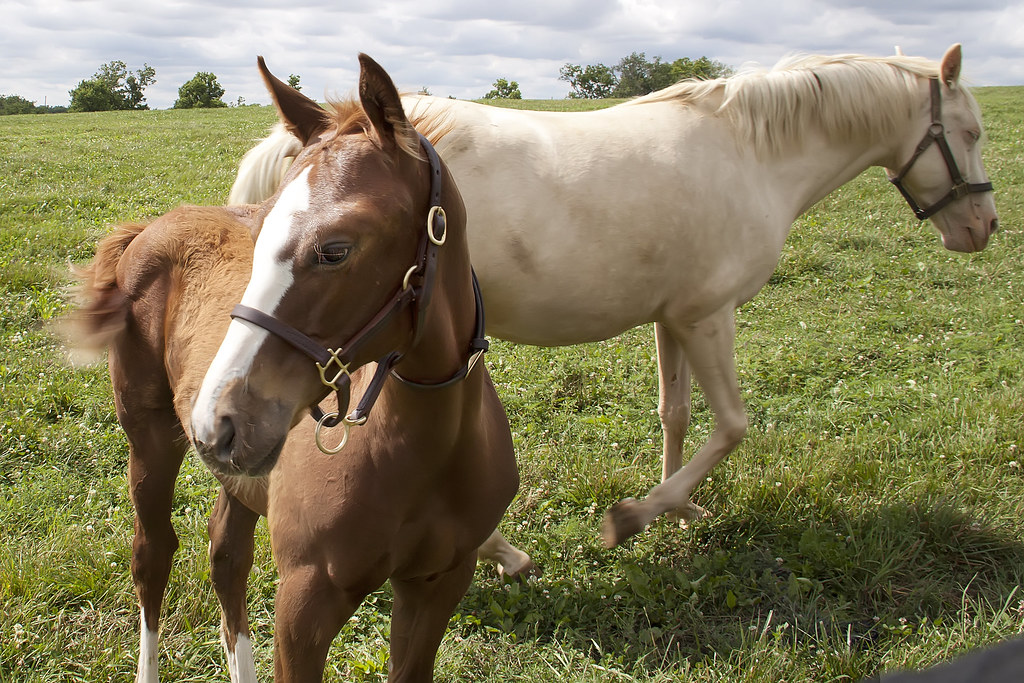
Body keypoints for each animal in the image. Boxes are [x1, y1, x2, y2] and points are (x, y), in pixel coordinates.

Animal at [70, 54, 520, 683]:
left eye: (335, 250)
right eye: (260, 230)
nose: (218, 419)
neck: (431, 448)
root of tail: (147, 229)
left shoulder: (438, 584)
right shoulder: (306, 602)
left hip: (238, 474)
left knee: (226, 558)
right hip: (149, 438)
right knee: (152, 555)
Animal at [226, 44, 999, 548]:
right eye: (969, 131)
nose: (984, 226)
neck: (751, 155)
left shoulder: (673, 317)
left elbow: (676, 414)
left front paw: (678, 510)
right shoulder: (709, 316)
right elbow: (733, 425)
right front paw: (634, 516)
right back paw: (496, 550)